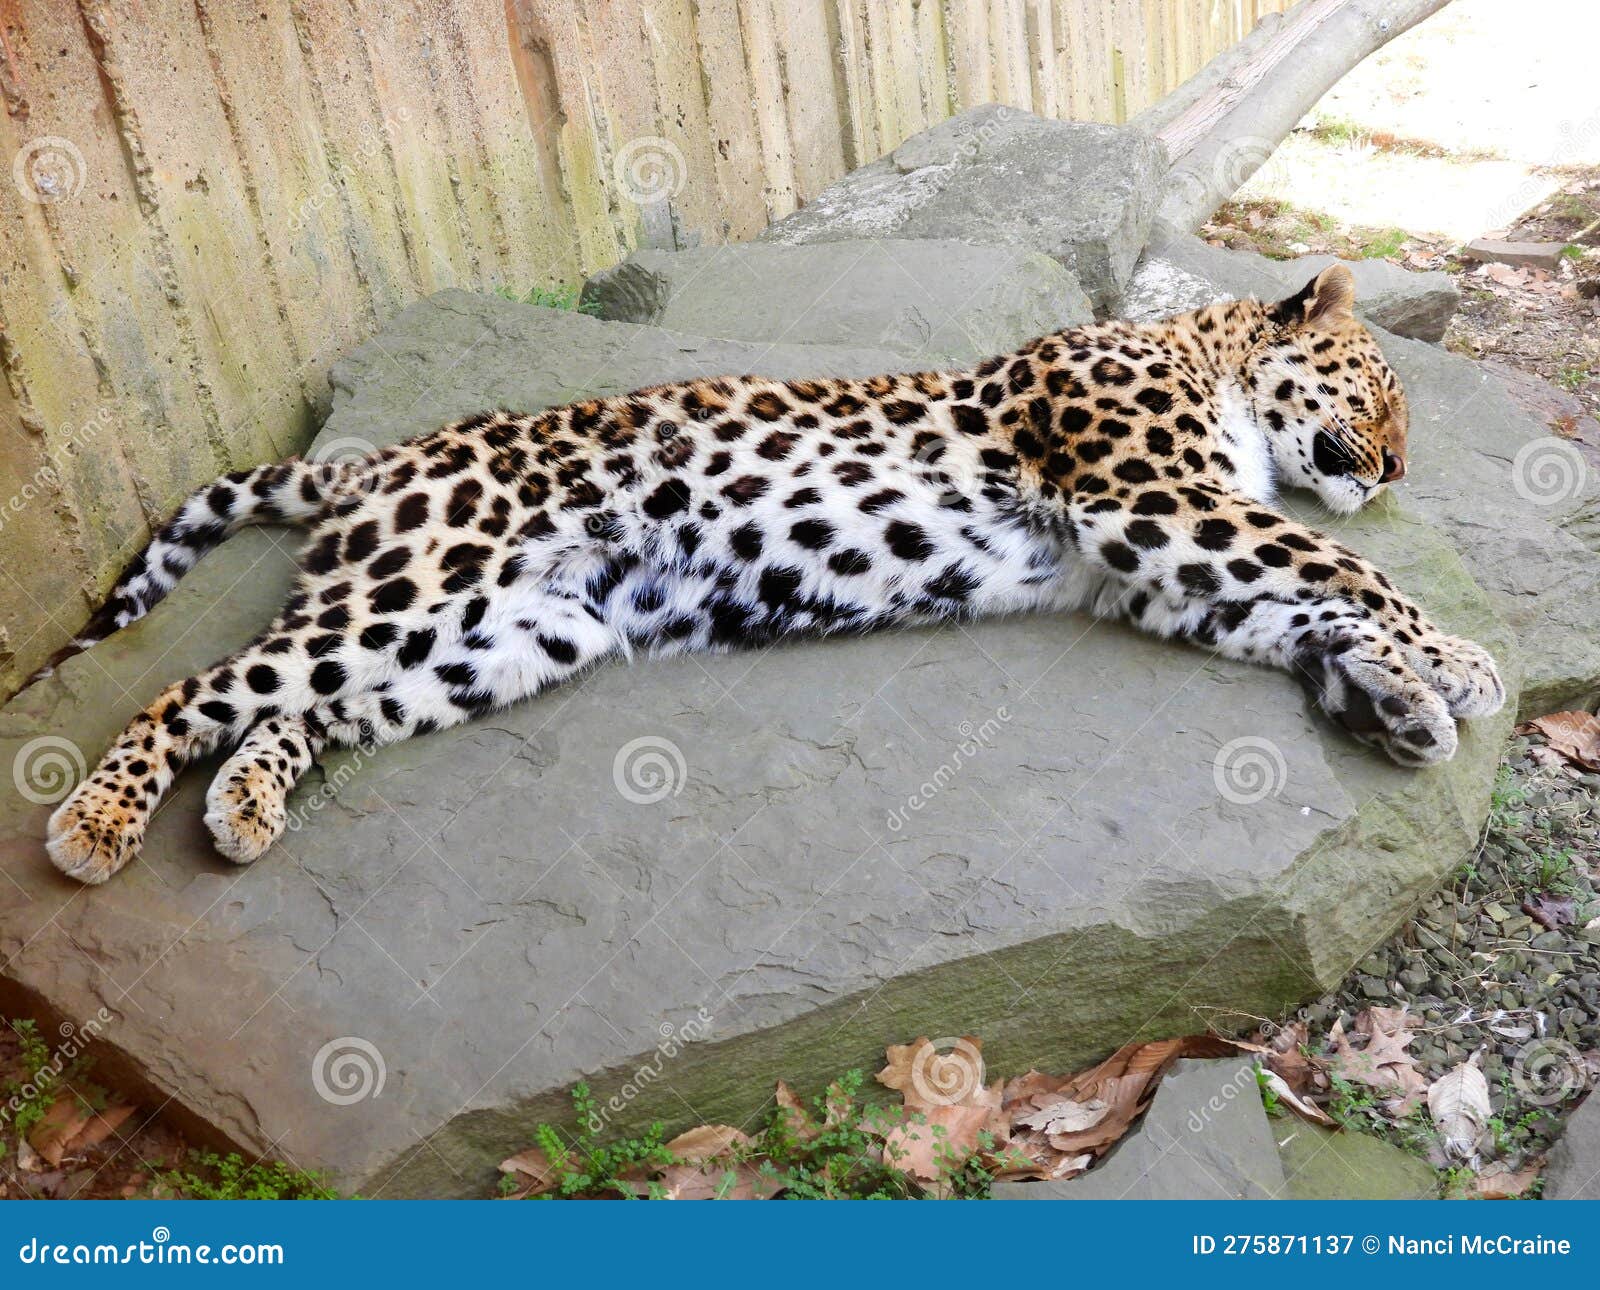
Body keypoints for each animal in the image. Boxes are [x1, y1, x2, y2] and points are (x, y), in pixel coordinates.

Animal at [45, 263, 1504, 885]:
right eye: (1380, 394)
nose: (1395, 471)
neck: (1199, 362)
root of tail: (379, 455)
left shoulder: (1151, 565)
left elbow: (1302, 607)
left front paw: (1394, 698)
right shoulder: (1151, 499)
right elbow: (1334, 563)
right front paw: (1461, 660)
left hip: (505, 636)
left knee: (300, 706)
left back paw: (243, 807)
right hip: (422, 582)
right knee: (196, 684)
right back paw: (96, 825)